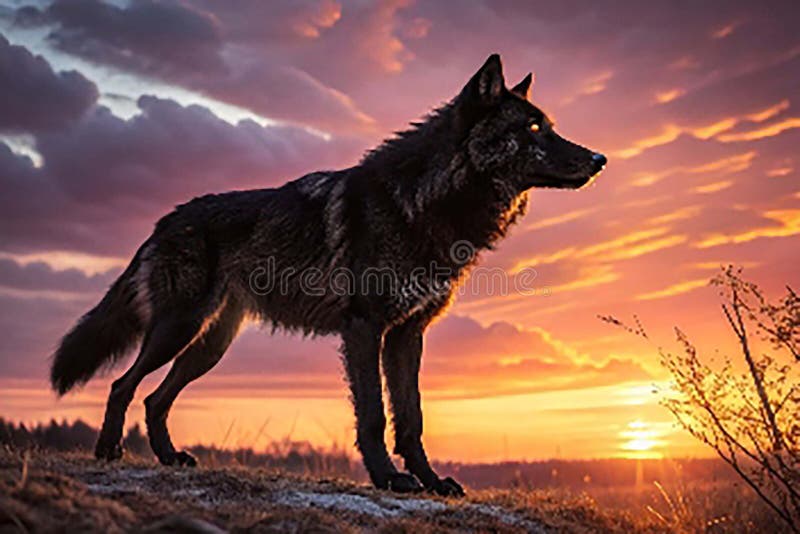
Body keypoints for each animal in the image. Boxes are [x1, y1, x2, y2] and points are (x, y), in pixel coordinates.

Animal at [51, 54, 606, 496]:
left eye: (548, 126)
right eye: (531, 130)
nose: (600, 158)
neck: (426, 204)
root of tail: (165, 219)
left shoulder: (407, 335)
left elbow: (412, 418)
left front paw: (430, 482)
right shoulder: (365, 328)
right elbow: (374, 414)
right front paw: (389, 478)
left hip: (209, 346)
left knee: (153, 398)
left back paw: (169, 457)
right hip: (177, 329)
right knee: (123, 384)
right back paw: (108, 451)